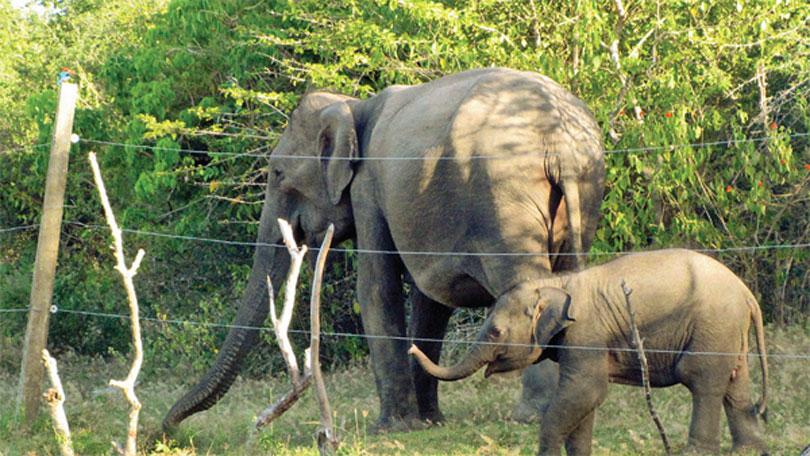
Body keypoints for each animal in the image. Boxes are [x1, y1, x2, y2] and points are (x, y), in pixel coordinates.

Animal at [163, 67, 606, 431]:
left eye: (277, 173)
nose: (167, 430)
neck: (354, 107)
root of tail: (559, 140)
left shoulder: (367, 187)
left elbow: (377, 288)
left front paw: (391, 428)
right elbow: (429, 300)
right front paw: (430, 422)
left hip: (504, 198)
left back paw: (531, 414)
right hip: (585, 191)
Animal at [411, 249, 769, 455]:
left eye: (496, 331)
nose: (413, 347)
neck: (557, 283)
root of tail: (747, 294)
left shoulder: (586, 334)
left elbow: (585, 390)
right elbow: (587, 399)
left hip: (713, 326)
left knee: (703, 383)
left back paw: (696, 452)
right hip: (727, 331)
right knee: (735, 384)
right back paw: (747, 450)